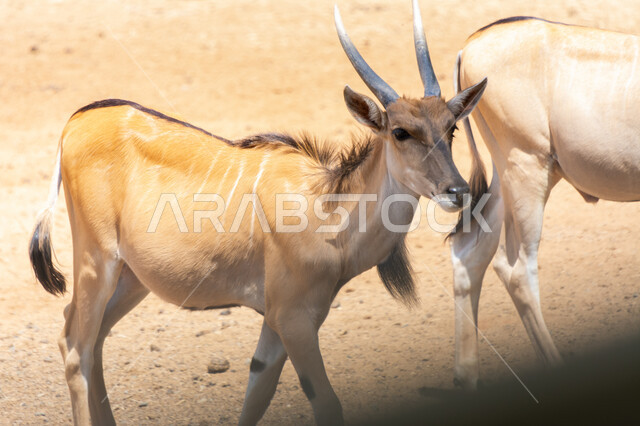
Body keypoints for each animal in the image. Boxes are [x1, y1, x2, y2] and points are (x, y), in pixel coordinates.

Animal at [29, 2, 487, 424]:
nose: (457, 191)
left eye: (451, 128)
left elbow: (257, 392)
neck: (328, 208)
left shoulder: (276, 323)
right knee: (76, 346)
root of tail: (77, 121)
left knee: (93, 341)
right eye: (400, 131)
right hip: (97, 262)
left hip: (131, 278)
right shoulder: (294, 320)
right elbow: (325, 403)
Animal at [448, 16, 640, 390]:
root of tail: (473, 43)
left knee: (470, 253)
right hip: (527, 171)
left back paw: (466, 377)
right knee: (518, 271)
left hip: (506, 177)